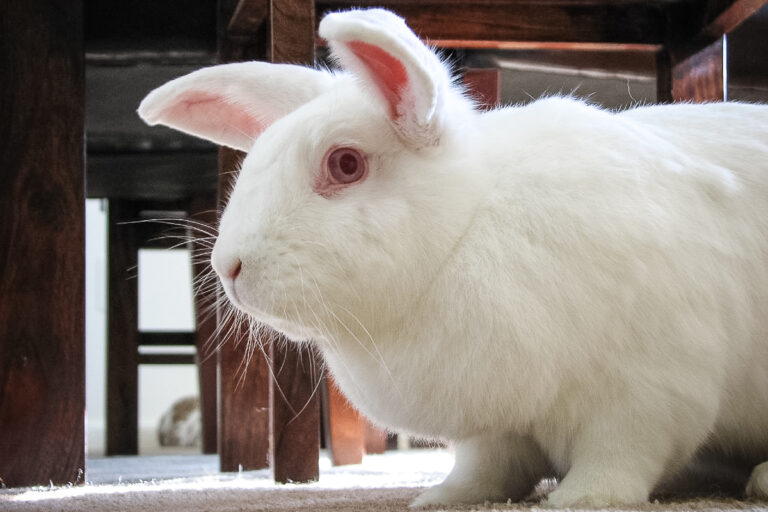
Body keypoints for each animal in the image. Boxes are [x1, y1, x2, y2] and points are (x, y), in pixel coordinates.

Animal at [138, 8, 768, 508]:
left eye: (345, 164)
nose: (228, 268)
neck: (465, 231)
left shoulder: (646, 390)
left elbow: (618, 459)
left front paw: (578, 500)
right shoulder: (496, 425)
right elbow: (488, 468)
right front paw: (441, 497)